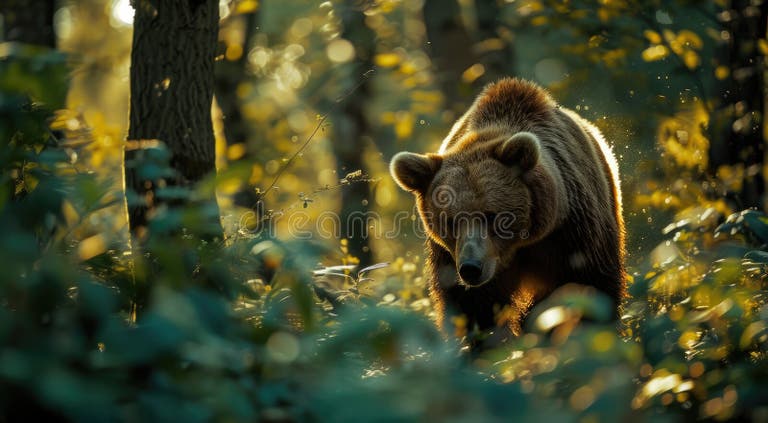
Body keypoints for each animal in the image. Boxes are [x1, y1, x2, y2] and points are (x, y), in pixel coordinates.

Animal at [390, 78, 626, 341]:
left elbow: (588, 289)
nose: (471, 268)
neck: (518, 247)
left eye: (493, 216)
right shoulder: (453, 262)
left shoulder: (573, 234)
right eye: (451, 221)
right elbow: (474, 310)